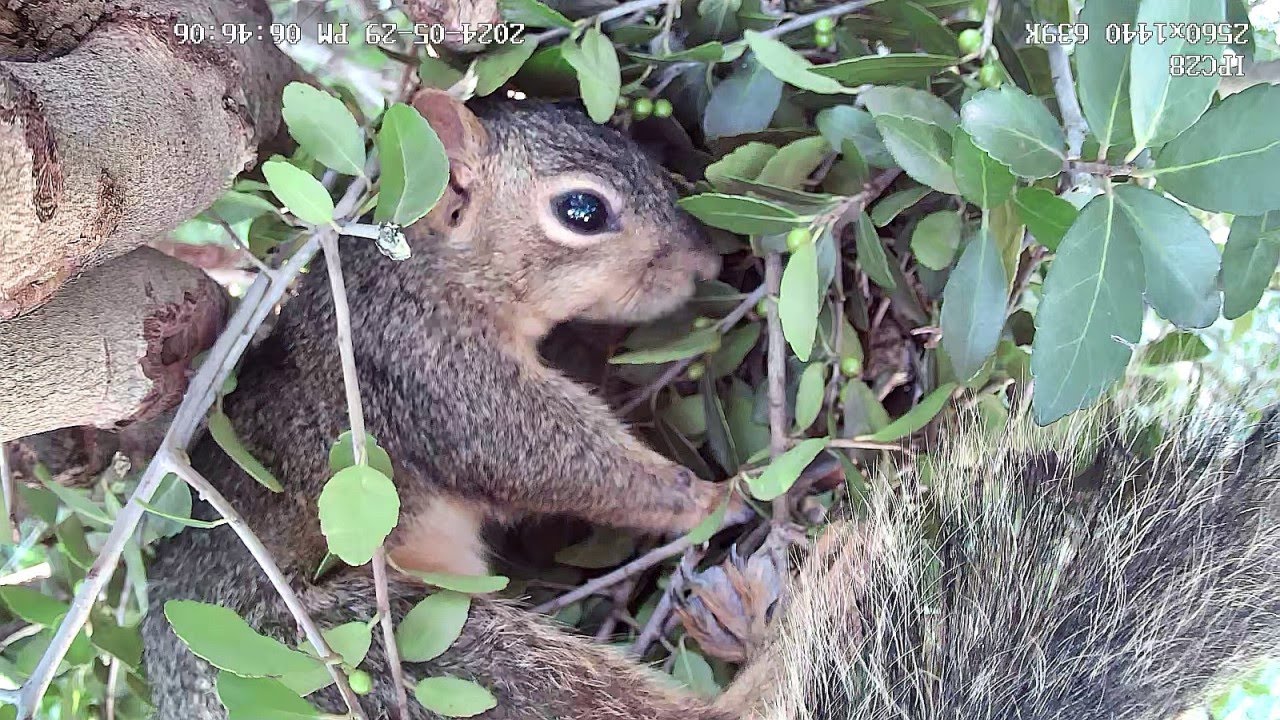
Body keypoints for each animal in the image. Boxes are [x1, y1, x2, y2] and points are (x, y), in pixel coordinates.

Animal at [141, 93, 1280, 720]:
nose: (707, 258)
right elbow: (545, 451)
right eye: (582, 210)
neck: (424, 268)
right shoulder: (425, 368)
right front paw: (711, 496)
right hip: (397, 657)